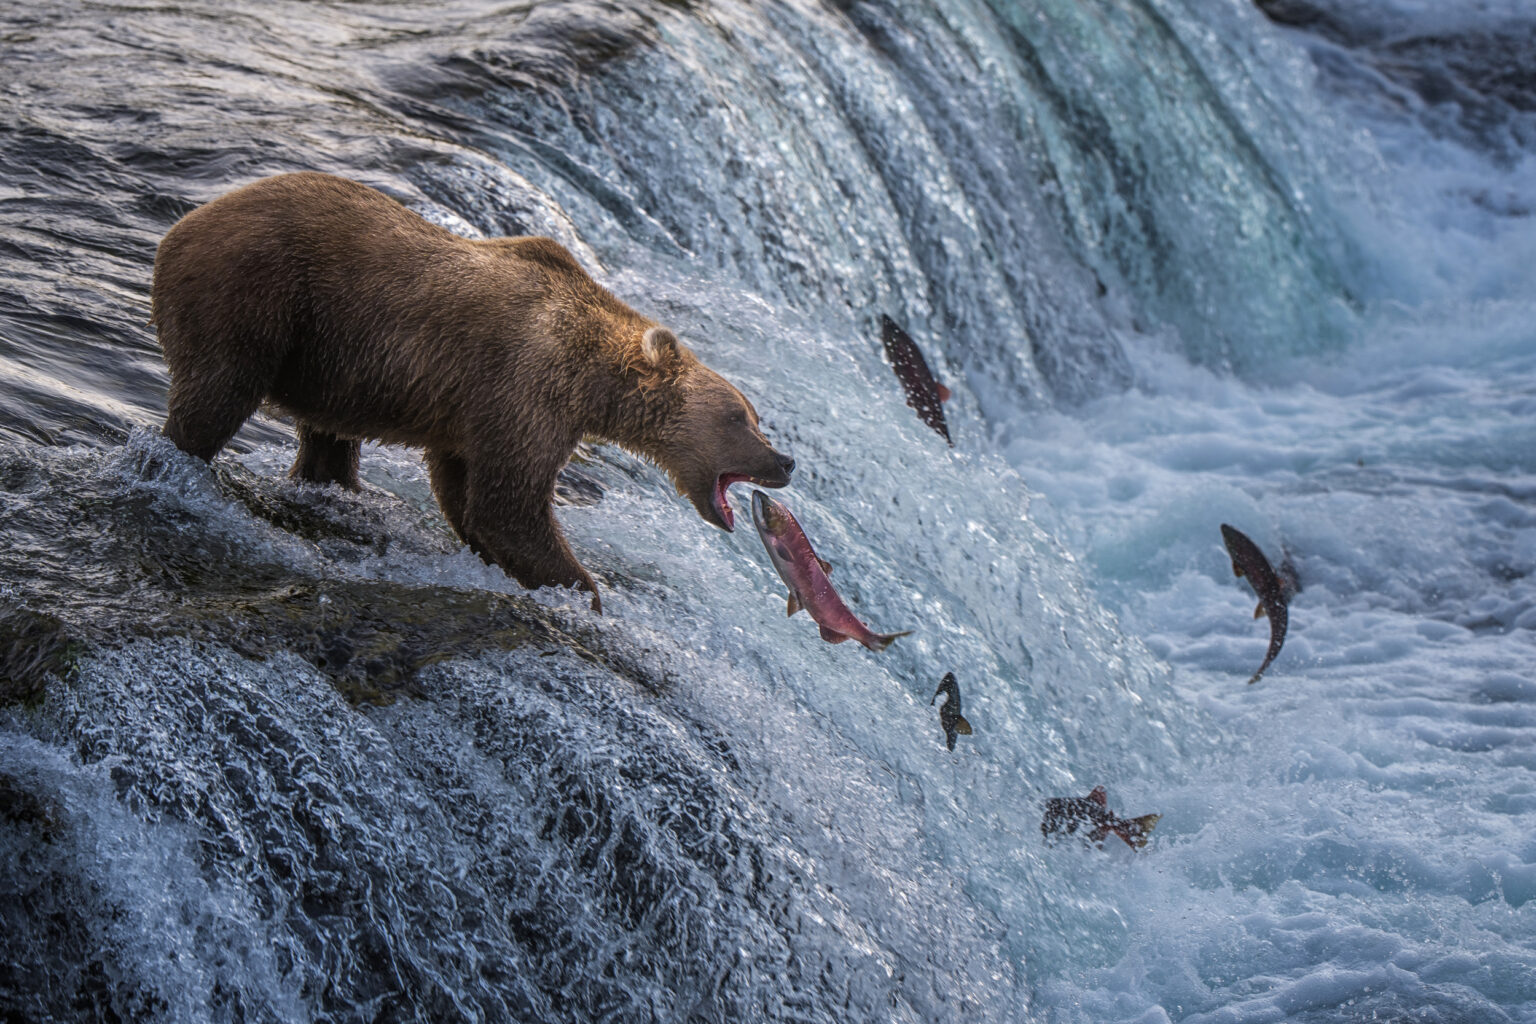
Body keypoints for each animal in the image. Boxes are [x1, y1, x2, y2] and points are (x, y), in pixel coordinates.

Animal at [150, 171, 794, 611]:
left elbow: (466, 492)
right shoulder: (525, 386)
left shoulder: (479, 411)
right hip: (255, 295)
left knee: (326, 438)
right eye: (741, 417)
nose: (785, 460)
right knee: (217, 395)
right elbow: (509, 505)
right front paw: (585, 592)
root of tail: (180, 226)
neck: (593, 382)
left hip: (324, 359)